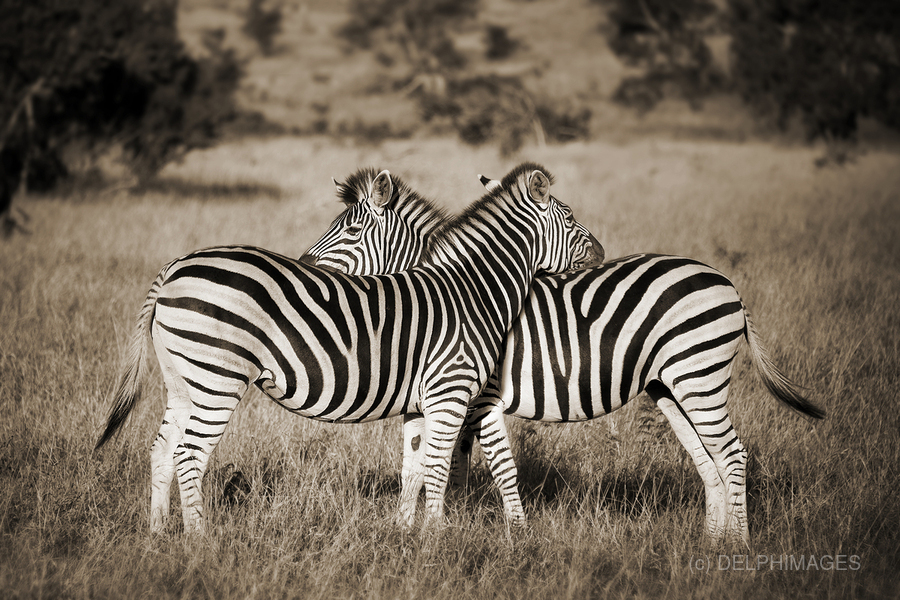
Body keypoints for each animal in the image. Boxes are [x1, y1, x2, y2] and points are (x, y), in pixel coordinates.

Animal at [94, 162, 603, 534]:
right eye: (570, 217)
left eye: (352, 232)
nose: (600, 251)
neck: (469, 290)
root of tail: (175, 266)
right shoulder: (457, 391)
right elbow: (451, 465)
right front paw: (442, 537)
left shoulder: (421, 401)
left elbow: (416, 467)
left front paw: (406, 535)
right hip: (217, 378)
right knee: (189, 455)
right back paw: (201, 541)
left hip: (184, 380)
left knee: (163, 449)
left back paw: (159, 536)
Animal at [302, 168, 825, 545]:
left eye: (349, 230)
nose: (305, 265)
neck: (455, 293)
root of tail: (726, 281)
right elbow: (437, 465)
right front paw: (413, 529)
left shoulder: (479, 396)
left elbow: (480, 464)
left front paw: (504, 536)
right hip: (671, 385)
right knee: (708, 455)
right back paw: (712, 542)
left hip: (699, 374)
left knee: (732, 453)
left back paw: (739, 546)